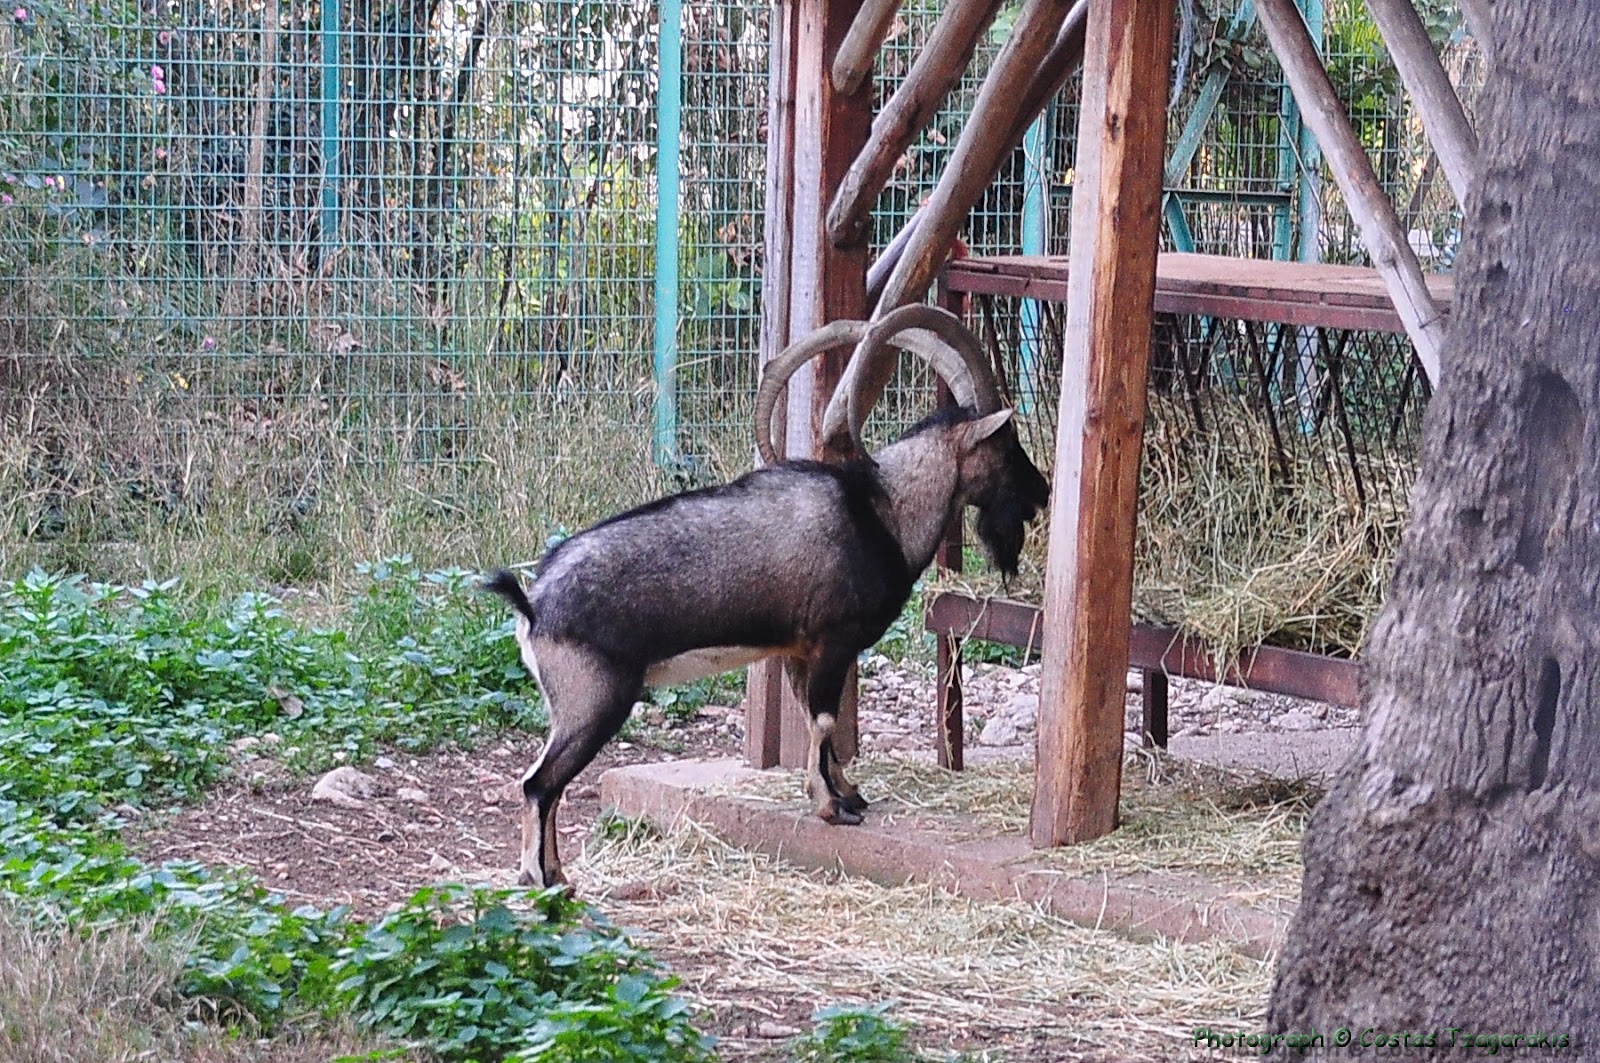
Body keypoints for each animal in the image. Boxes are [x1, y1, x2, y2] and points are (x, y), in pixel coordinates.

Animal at [483, 304, 1049, 888]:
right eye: (1006, 445)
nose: (1044, 489)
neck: (885, 512)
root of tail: (533, 604)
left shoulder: (799, 654)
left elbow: (816, 725)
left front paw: (847, 794)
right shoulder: (832, 643)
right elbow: (824, 723)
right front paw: (832, 808)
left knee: (546, 783)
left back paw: (557, 875)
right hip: (593, 701)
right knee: (539, 783)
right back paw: (542, 880)